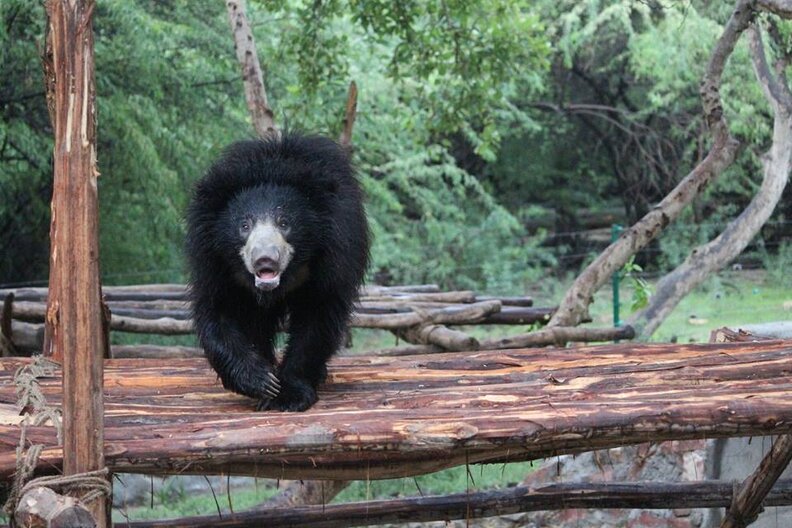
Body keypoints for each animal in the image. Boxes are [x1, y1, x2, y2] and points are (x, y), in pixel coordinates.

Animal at [185, 133, 369, 412]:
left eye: (284, 223)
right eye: (244, 225)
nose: (264, 259)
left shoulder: (333, 258)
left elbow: (317, 319)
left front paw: (288, 395)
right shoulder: (216, 264)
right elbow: (218, 313)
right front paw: (261, 382)